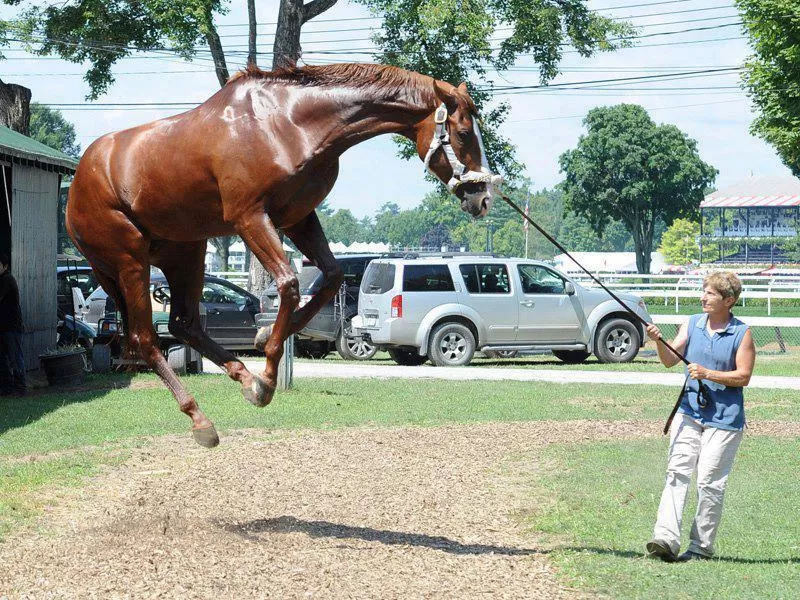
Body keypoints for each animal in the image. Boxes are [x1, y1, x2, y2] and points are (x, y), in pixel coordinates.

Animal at [67, 62, 500, 446]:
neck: (285, 124)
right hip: (131, 263)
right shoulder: (250, 218)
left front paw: (265, 338)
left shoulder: (298, 218)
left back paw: (246, 379)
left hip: (185, 253)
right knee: (144, 338)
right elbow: (290, 284)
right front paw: (271, 369)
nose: (483, 198)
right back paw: (202, 418)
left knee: (183, 324)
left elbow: (331, 278)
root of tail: (78, 184)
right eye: (463, 133)